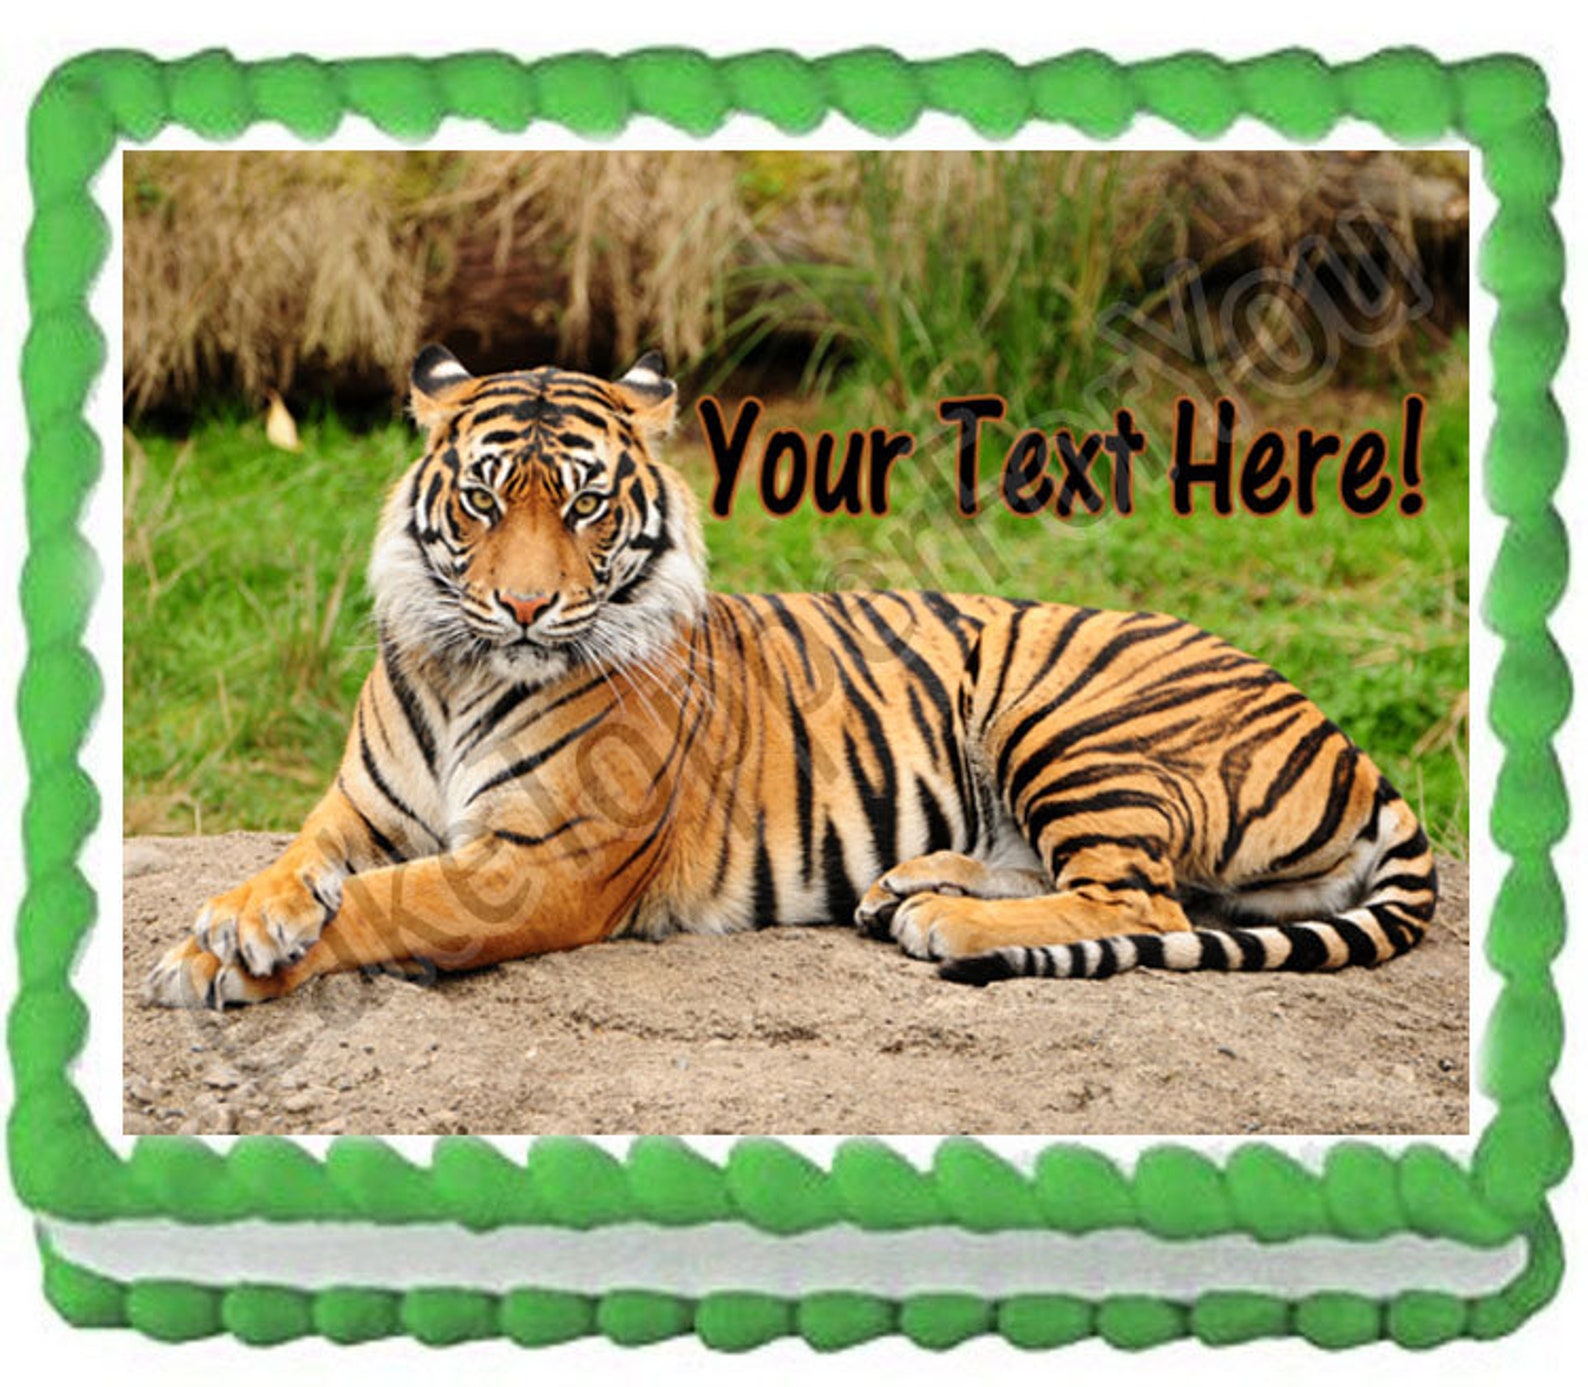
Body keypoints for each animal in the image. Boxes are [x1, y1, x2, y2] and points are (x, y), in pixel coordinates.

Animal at [147, 346, 1438, 1009]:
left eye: (584, 505)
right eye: (480, 499)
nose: (523, 606)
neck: (468, 669)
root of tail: (1347, 741)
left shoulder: (537, 866)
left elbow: (386, 902)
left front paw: (214, 963)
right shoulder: (358, 810)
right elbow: (300, 864)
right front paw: (236, 919)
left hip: (1069, 715)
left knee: (1142, 901)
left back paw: (947, 922)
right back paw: (910, 886)